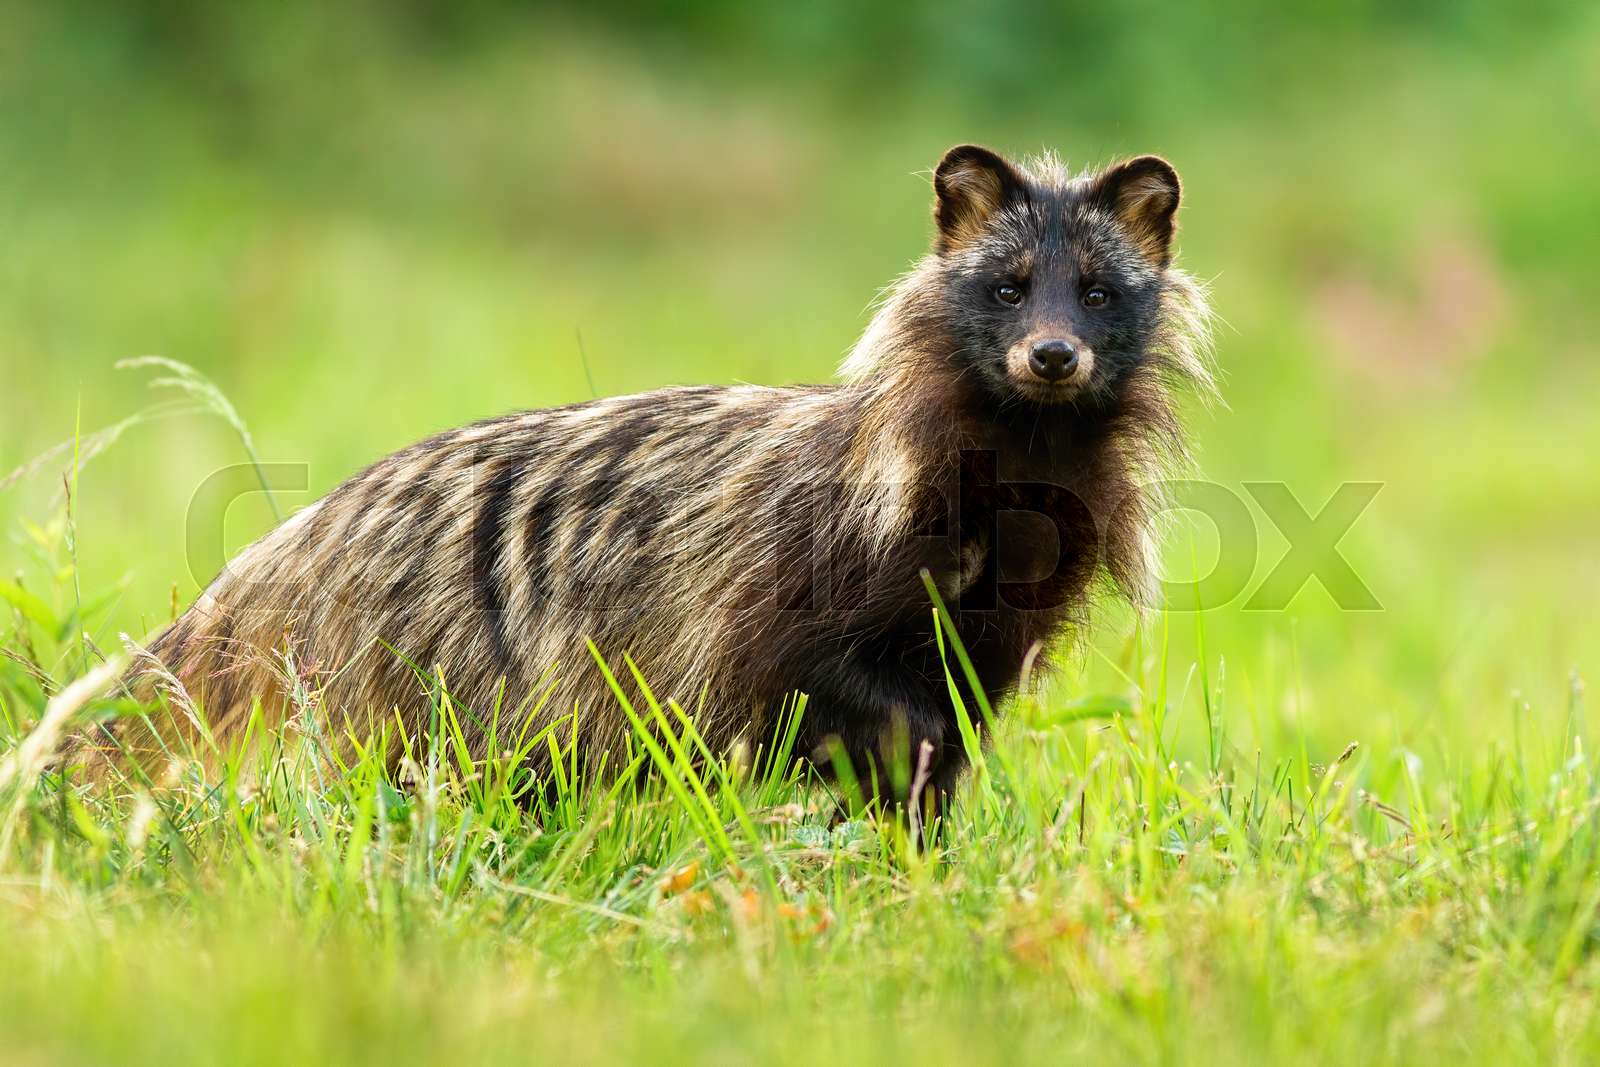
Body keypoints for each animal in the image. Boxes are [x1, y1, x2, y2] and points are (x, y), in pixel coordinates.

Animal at [103, 145, 1212, 807]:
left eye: (1101, 291)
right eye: (1007, 287)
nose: (1052, 356)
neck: (1009, 486)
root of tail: (311, 531)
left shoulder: (985, 637)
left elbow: (935, 745)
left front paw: (918, 855)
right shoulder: (788, 585)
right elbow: (816, 693)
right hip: (435, 671)